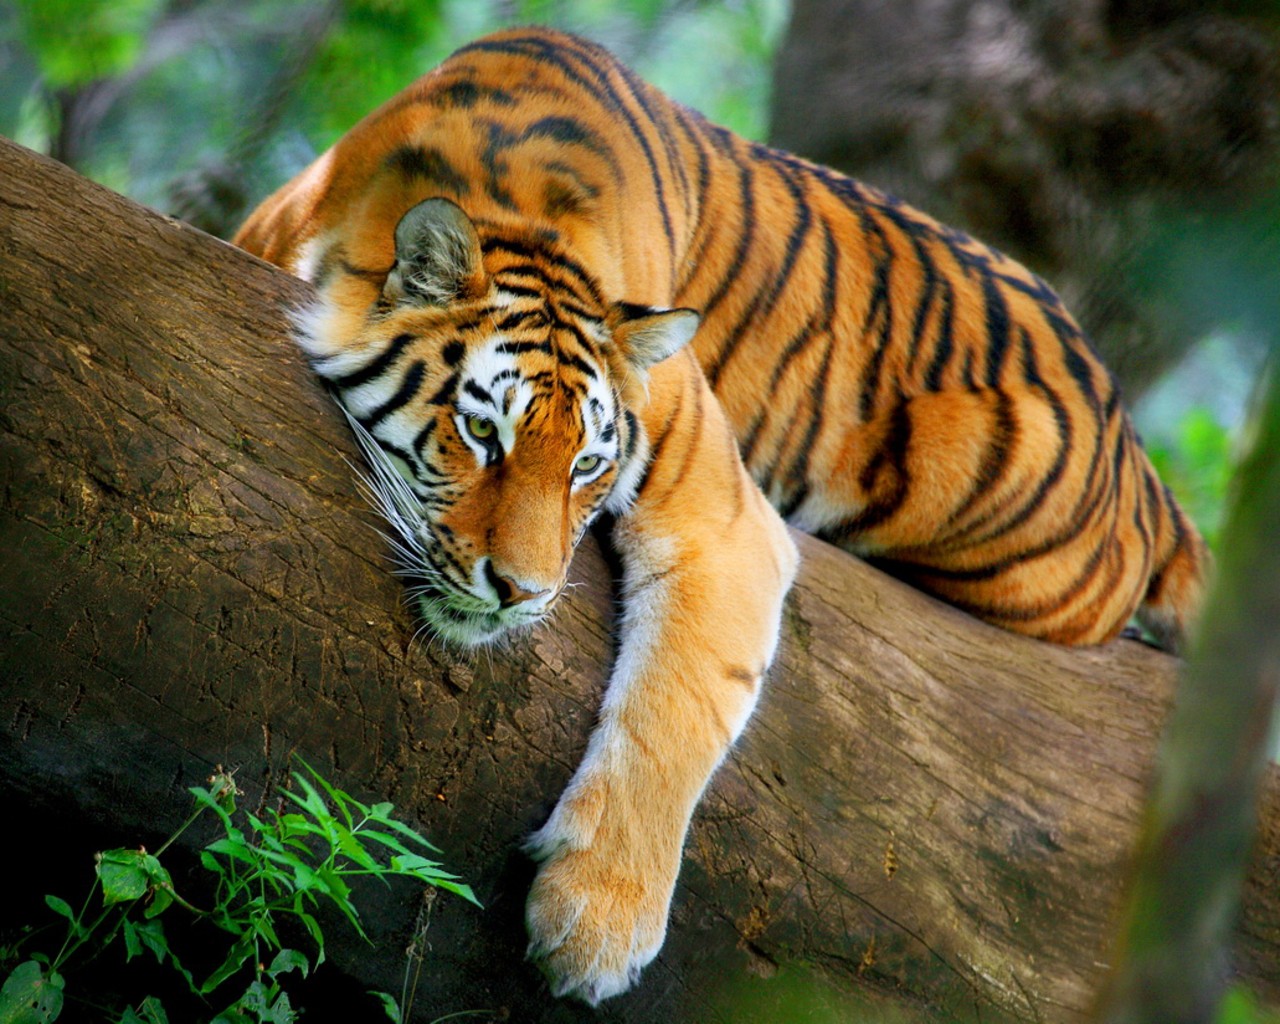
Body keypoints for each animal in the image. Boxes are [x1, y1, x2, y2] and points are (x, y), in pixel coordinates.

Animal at [233, 26, 1207, 1005]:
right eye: (482, 433)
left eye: (587, 465)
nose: (521, 593)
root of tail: (1134, 447)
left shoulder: (725, 519)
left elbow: (679, 708)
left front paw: (597, 926)